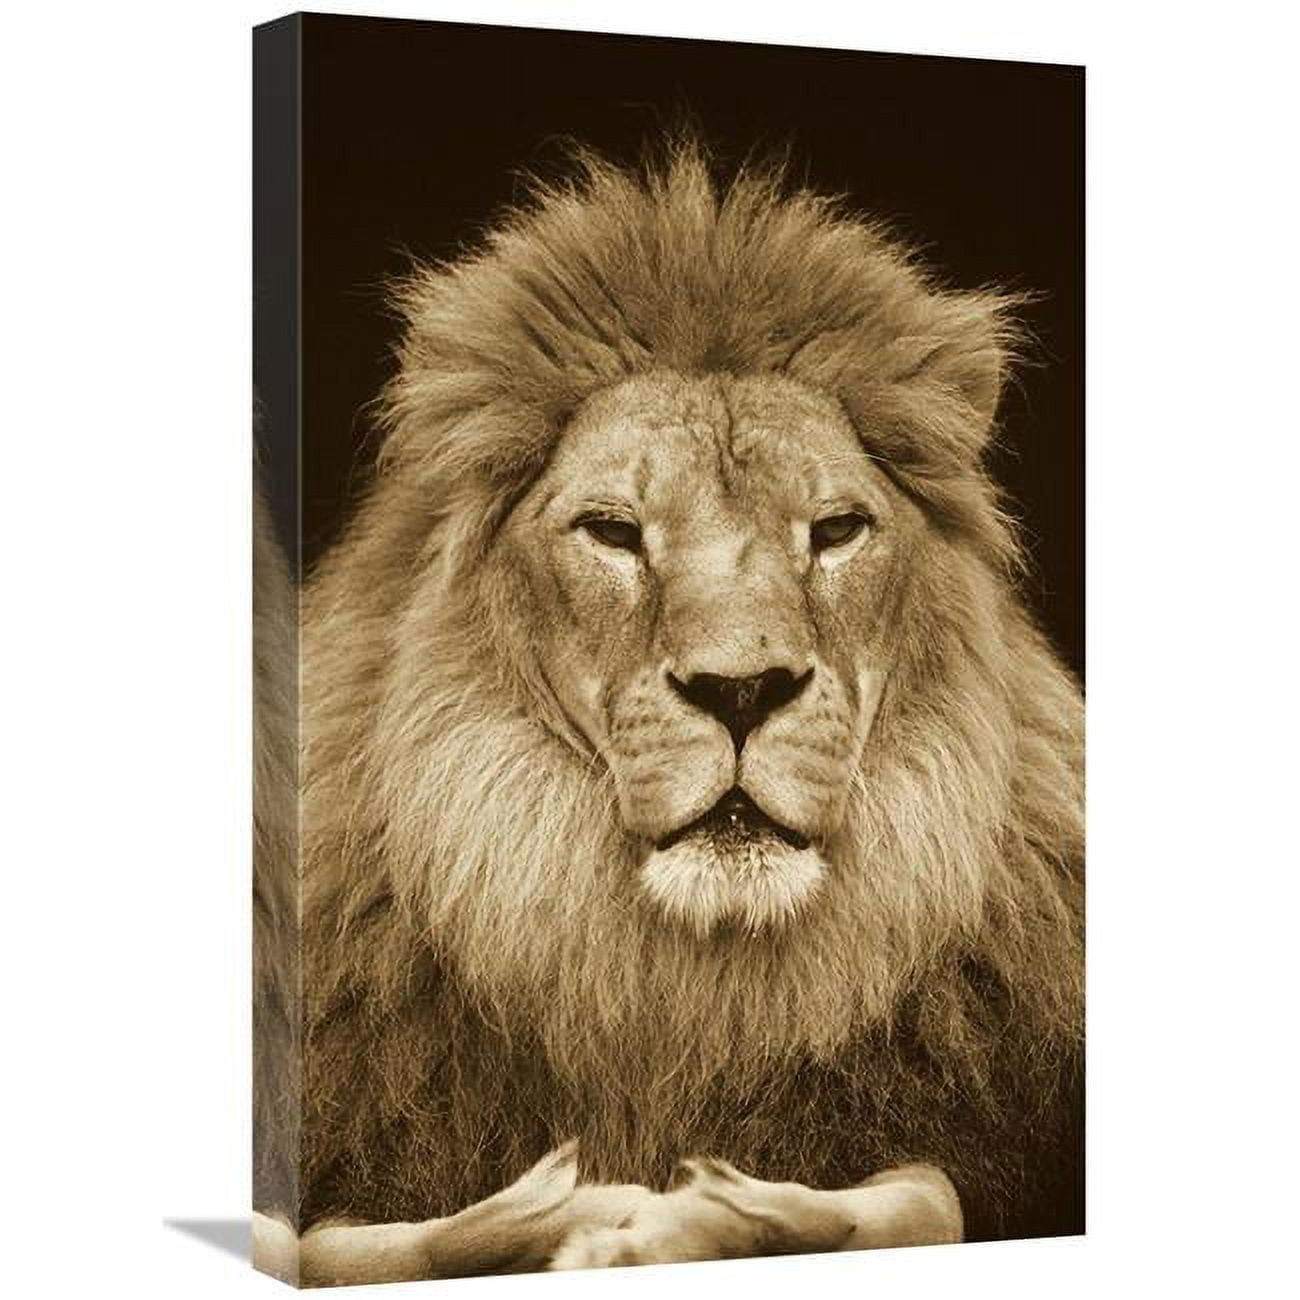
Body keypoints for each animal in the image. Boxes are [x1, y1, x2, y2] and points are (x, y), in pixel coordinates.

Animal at [253, 141, 1084, 1285]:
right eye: (612, 531)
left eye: (836, 530)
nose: (741, 690)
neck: (674, 983)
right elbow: (333, 1245)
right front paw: (548, 1213)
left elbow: (928, 1198)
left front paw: (730, 1211)